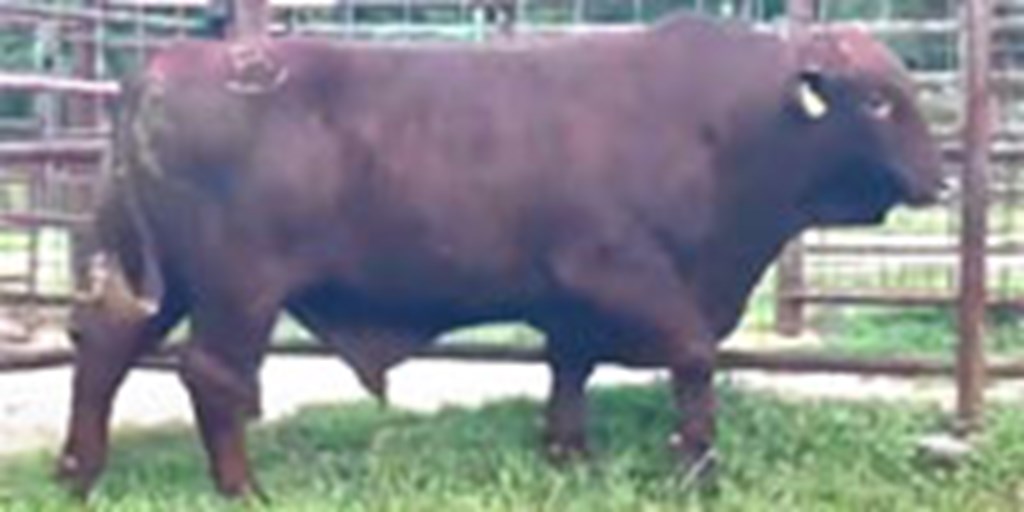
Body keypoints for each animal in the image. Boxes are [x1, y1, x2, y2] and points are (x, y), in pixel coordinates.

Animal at [57, 13, 943, 498]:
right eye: (876, 101)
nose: (937, 179)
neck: (729, 123)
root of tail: (162, 67)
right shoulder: (622, 271)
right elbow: (693, 356)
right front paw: (699, 466)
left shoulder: (571, 301)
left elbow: (569, 368)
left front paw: (568, 452)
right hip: (238, 288)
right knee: (213, 375)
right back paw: (242, 488)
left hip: (162, 280)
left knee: (105, 342)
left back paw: (78, 471)